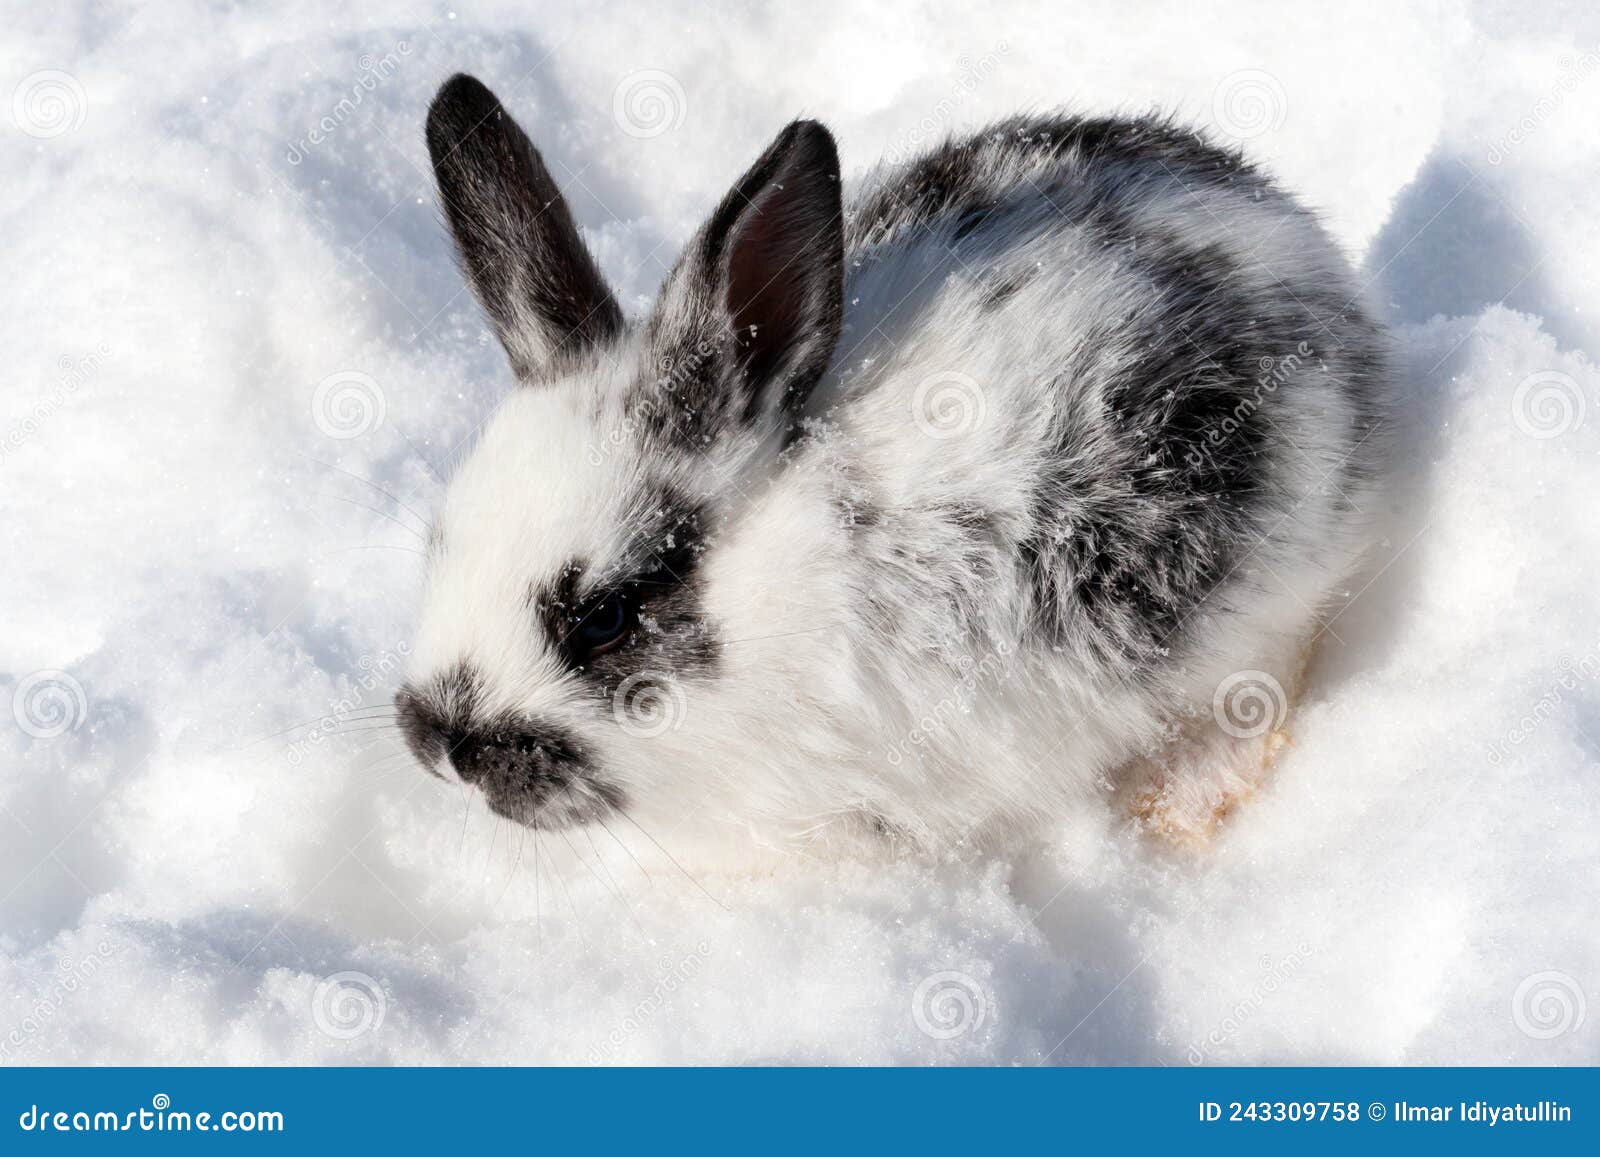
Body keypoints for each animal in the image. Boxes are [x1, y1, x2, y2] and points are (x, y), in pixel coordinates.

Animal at [396, 73, 1391, 857]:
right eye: (440, 541)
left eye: (603, 617)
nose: (441, 742)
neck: (787, 567)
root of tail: (1296, 242)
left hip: (1257, 588)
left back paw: (1175, 807)